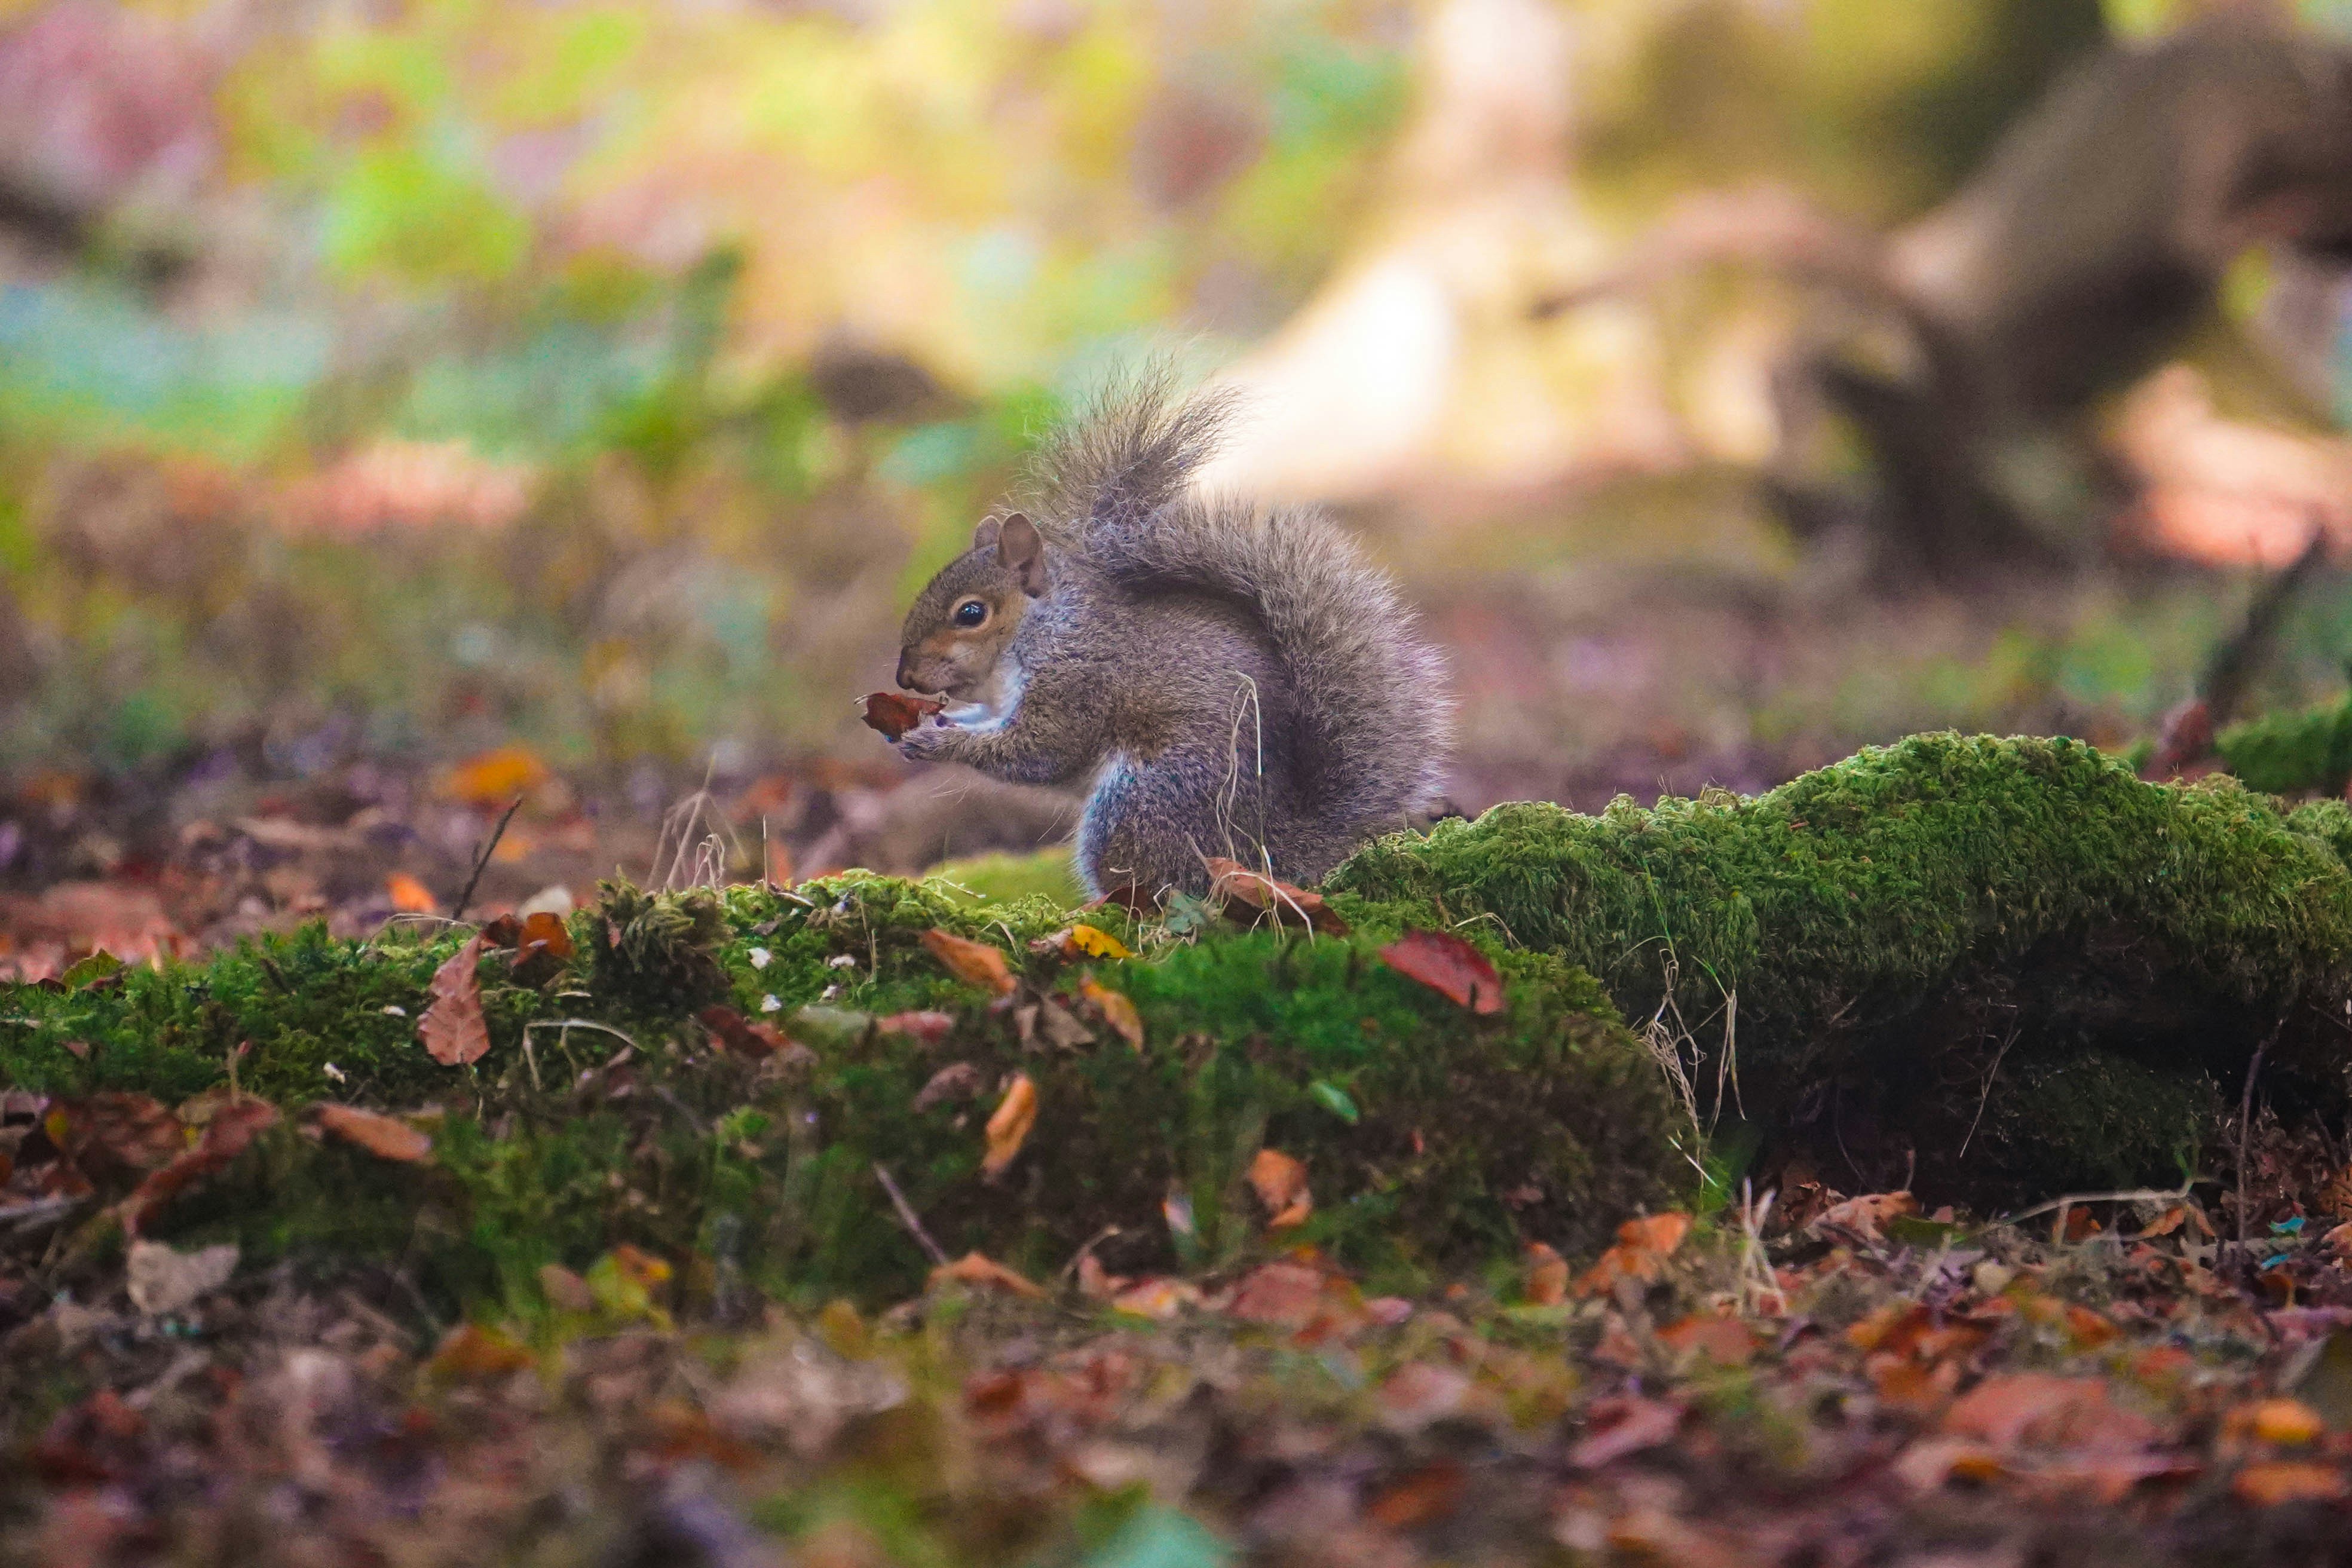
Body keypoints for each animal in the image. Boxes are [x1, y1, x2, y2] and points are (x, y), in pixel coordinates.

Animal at [887, 371, 1452, 900]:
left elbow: (1039, 751)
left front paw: (939, 742)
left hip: (1142, 801)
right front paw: (924, 724)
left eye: (971, 613)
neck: (1042, 630)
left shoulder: (1077, 680)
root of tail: (1272, 850)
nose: (906, 676)